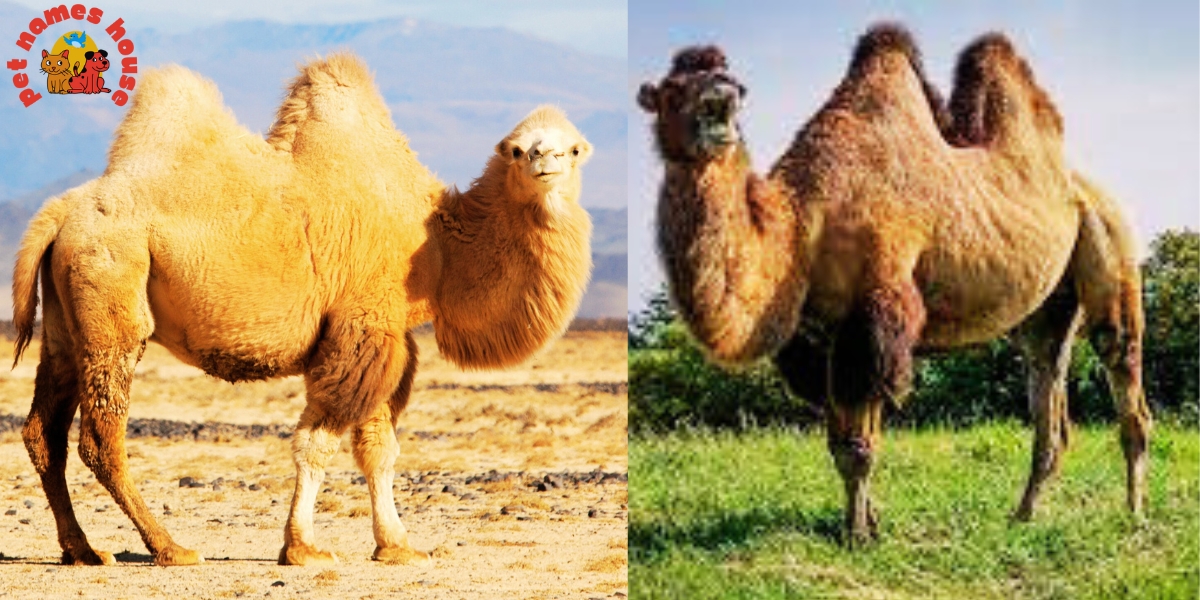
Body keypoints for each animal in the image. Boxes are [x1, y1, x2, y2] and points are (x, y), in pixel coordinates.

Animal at [11, 53, 593, 566]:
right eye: (517, 150)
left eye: (573, 149)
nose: (545, 160)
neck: (436, 247)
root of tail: (58, 213)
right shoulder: (360, 328)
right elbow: (318, 443)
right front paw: (302, 548)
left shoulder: (387, 338)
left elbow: (378, 447)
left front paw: (397, 546)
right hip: (112, 291)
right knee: (100, 438)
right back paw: (170, 548)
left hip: (66, 322)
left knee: (43, 432)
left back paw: (83, 550)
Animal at [637, 24, 1149, 544]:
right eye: (672, 89)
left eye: (734, 88)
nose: (720, 97)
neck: (802, 224)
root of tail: (1085, 186)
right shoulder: (823, 336)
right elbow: (842, 444)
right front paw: (868, 523)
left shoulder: (876, 315)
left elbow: (859, 447)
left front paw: (858, 534)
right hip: (1047, 306)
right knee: (1049, 384)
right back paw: (1023, 514)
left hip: (1111, 242)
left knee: (1122, 365)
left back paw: (1134, 515)